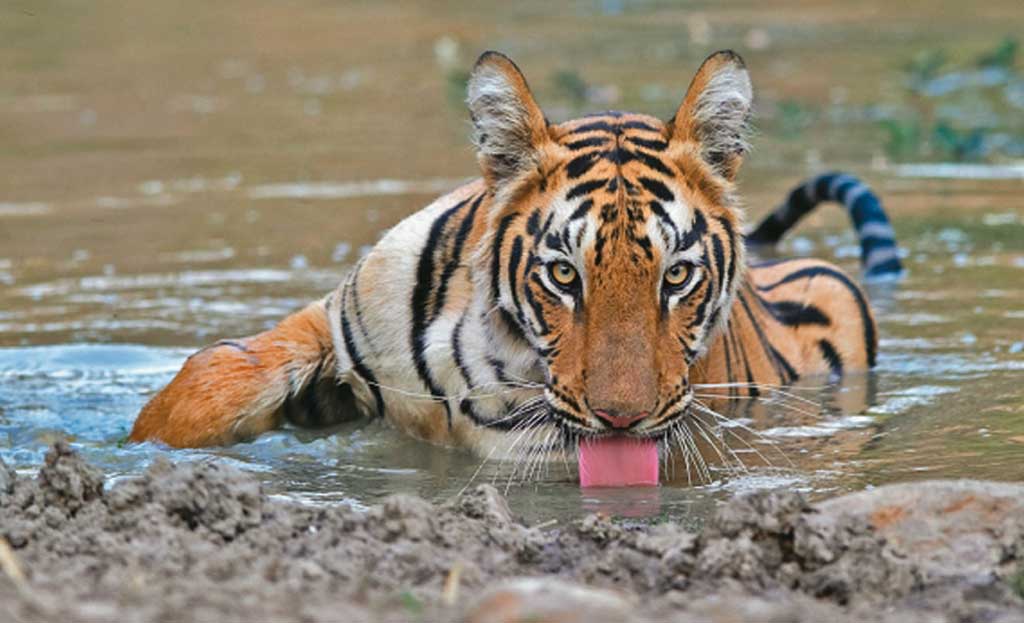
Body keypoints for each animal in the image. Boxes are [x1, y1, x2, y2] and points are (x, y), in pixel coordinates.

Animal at [129, 50, 901, 485]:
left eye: (676, 277)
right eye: (564, 275)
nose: (622, 420)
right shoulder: (337, 322)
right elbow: (208, 376)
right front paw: (138, 446)